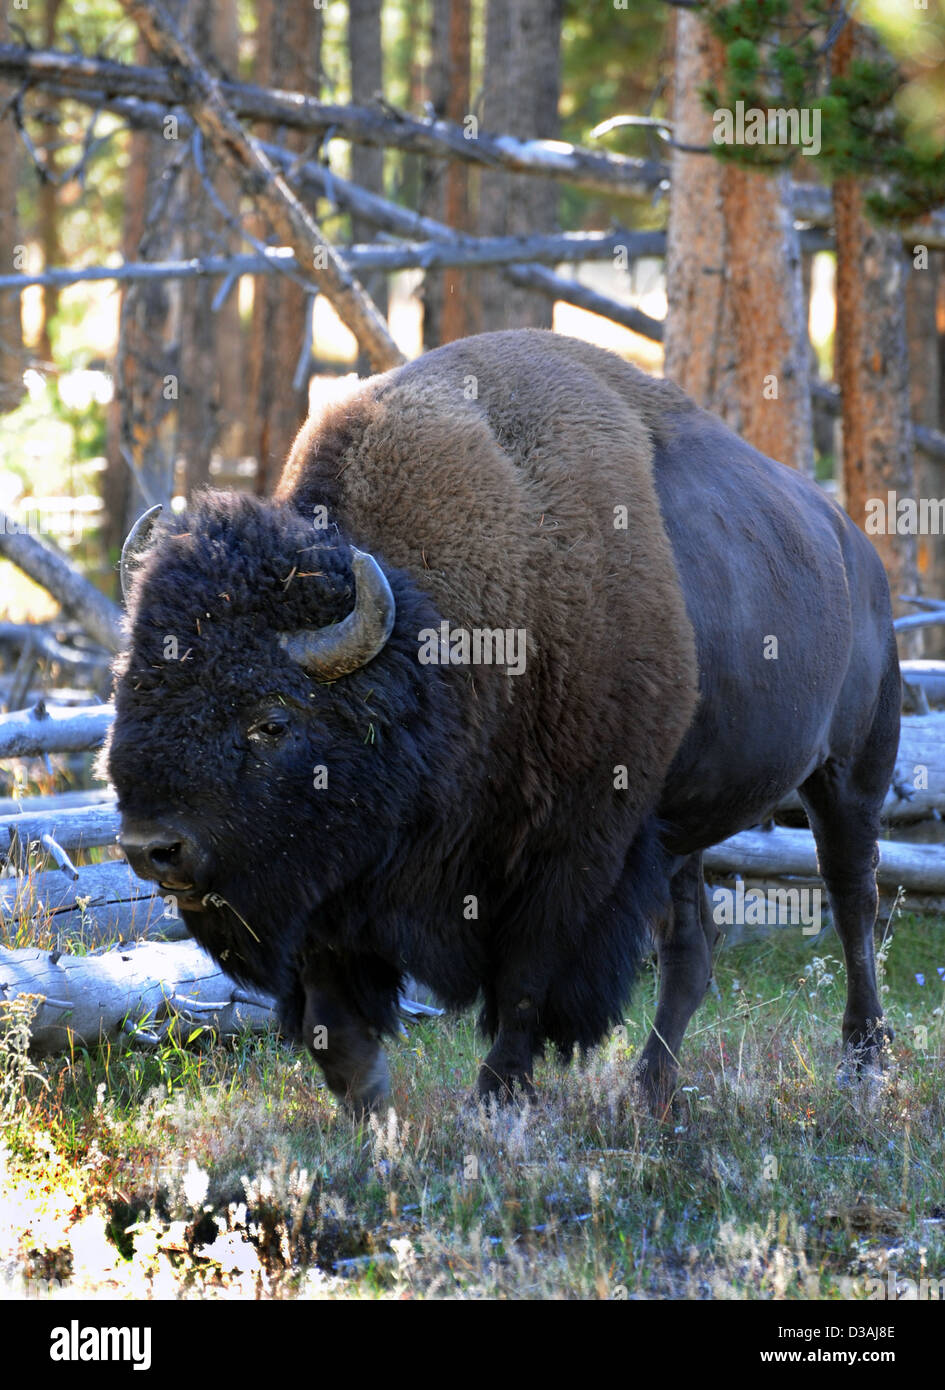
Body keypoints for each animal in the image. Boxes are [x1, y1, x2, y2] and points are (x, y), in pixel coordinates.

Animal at [106, 330, 900, 1114]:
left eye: (271, 721)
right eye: (129, 690)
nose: (153, 848)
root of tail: (854, 547)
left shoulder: (572, 856)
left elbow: (525, 987)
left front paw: (495, 1101)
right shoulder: (337, 878)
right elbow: (335, 1017)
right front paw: (371, 1112)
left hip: (850, 774)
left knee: (852, 900)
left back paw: (861, 1064)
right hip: (678, 832)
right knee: (691, 947)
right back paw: (649, 1091)